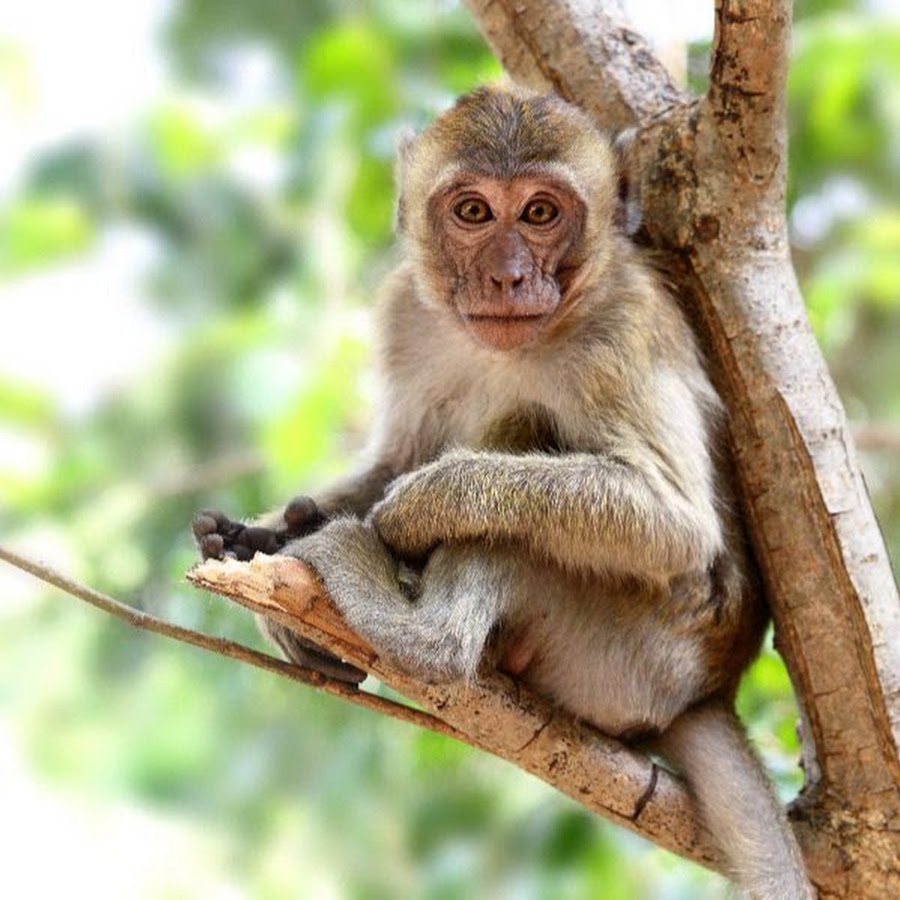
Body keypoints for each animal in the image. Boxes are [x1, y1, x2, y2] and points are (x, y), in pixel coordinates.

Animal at [194, 86, 814, 899]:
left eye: (541, 213)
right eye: (474, 212)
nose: (508, 277)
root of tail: (709, 690)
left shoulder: (622, 333)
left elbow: (673, 524)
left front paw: (417, 508)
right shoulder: (405, 313)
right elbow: (398, 452)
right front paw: (260, 534)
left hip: (629, 654)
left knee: (520, 476)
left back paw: (410, 623)